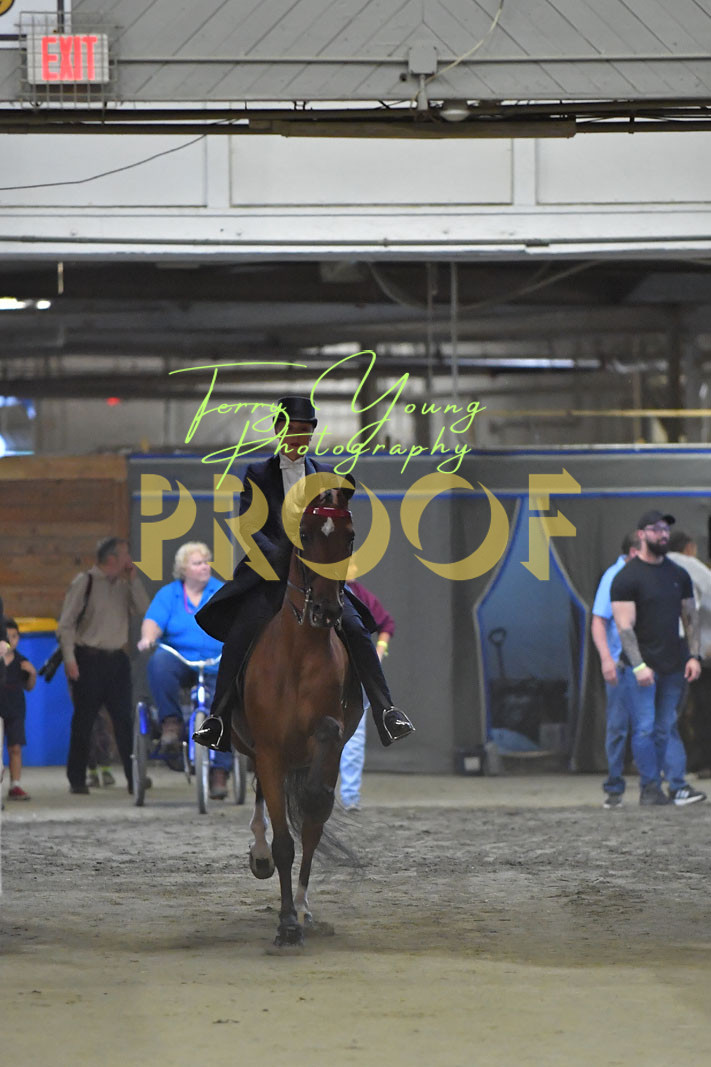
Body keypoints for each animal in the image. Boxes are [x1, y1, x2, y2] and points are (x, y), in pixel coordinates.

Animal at [232, 483, 363, 949]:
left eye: (349, 538)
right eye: (304, 534)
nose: (326, 611)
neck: (300, 651)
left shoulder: (331, 744)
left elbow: (312, 818)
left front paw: (298, 912)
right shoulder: (270, 750)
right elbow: (284, 842)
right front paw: (286, 924)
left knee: (309, 820)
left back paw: (304, 905)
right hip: (253, 746)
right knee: (259, 795)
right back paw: (260, 854)